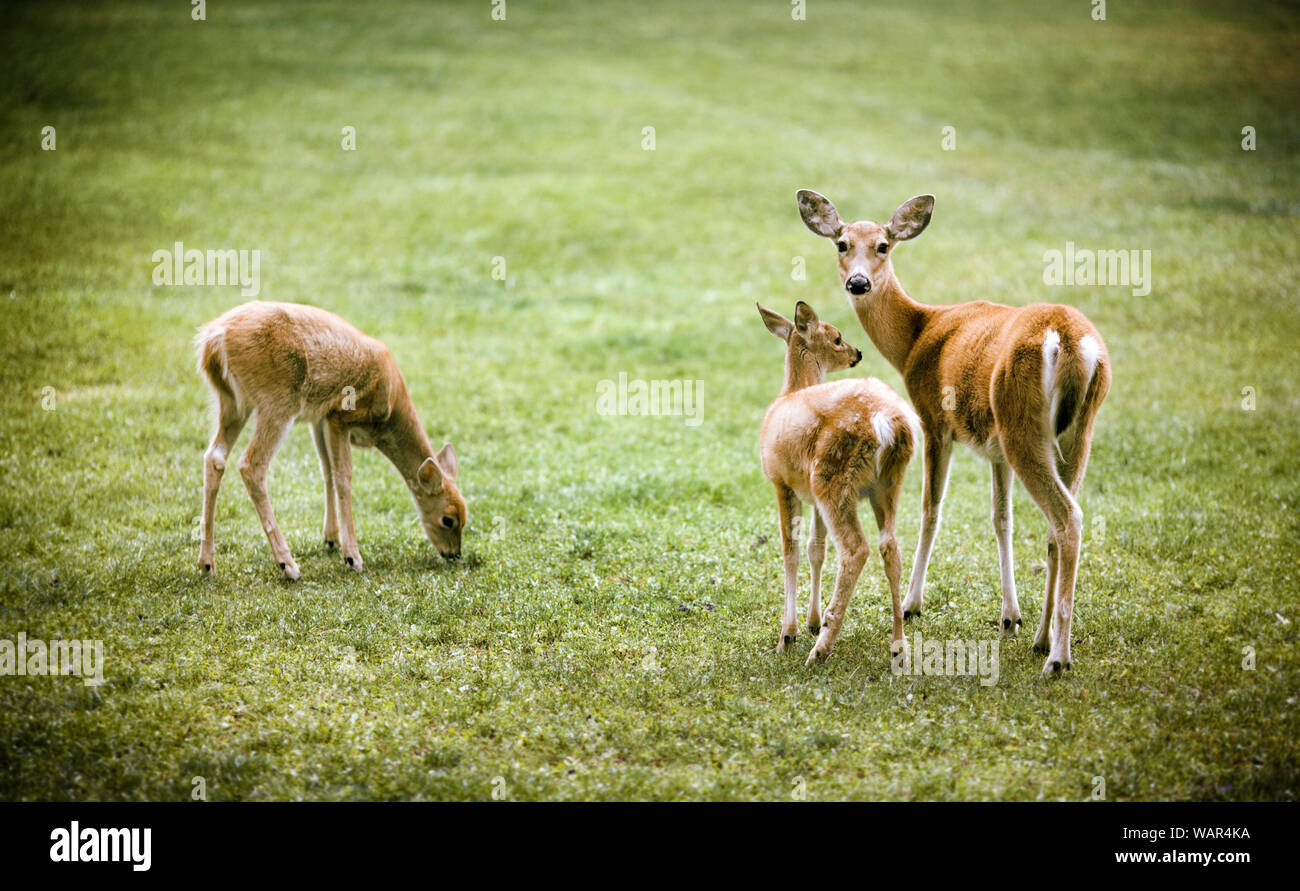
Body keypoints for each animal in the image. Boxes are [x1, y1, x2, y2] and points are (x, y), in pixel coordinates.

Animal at [195, 301, 466, 580]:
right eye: (449, 519)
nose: (454, 554)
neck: (390, 412)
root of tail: (214, 340)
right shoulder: (341, 415)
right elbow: (343, 475)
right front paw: (353, 557)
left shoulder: (320, 418)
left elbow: (327, 469)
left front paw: (331, 538)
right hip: (278, 399)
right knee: (251, 464)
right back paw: (288, 565)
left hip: (231, 402)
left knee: (214, 456)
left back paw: (207, 564)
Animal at [757, 301, 920, 668]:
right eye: (836, 338)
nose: (857, 352)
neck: (788, 393)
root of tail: (889, 422)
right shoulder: (808, 493)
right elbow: (815, 549)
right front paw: (811, 621)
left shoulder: (781, 481)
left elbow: (790, 551)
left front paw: (788, 635)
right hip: (888, 483)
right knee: (890, 547)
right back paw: (898, 645)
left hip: (833, 474)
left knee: (856, 549)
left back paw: (821, 649)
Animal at [797, 190, 1111, 674]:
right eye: (842, 243)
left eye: (883, 245)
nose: (858, 283)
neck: (917, 335)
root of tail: (1072, 342)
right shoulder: (995, 448)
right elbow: (1002, 518)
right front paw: (1010, 615)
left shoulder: (933, 418)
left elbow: (931, 509)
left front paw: (912, 603)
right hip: (1075, 431)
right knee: (1056, 525)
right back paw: (1042, 638)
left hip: (1021, 425)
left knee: (1067, 517)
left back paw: (1058, 657)